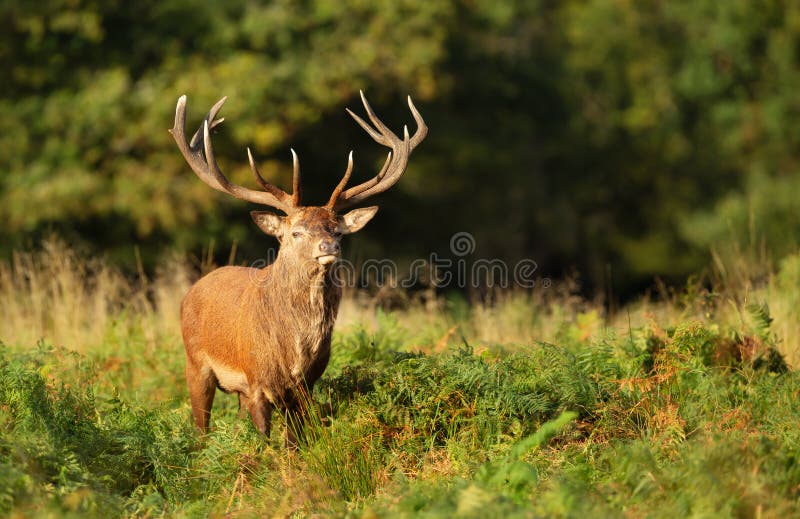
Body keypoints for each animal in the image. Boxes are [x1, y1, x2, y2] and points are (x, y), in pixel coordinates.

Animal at [169, 91, 426, 445]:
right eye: (296, 232)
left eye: (338, 231)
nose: (328, 247)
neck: (293, 349)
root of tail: (191, 291)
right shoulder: (255, 380)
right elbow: (265, 441)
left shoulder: (306, 384)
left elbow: (297, 441)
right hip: (194, 364)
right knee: (200, 428)